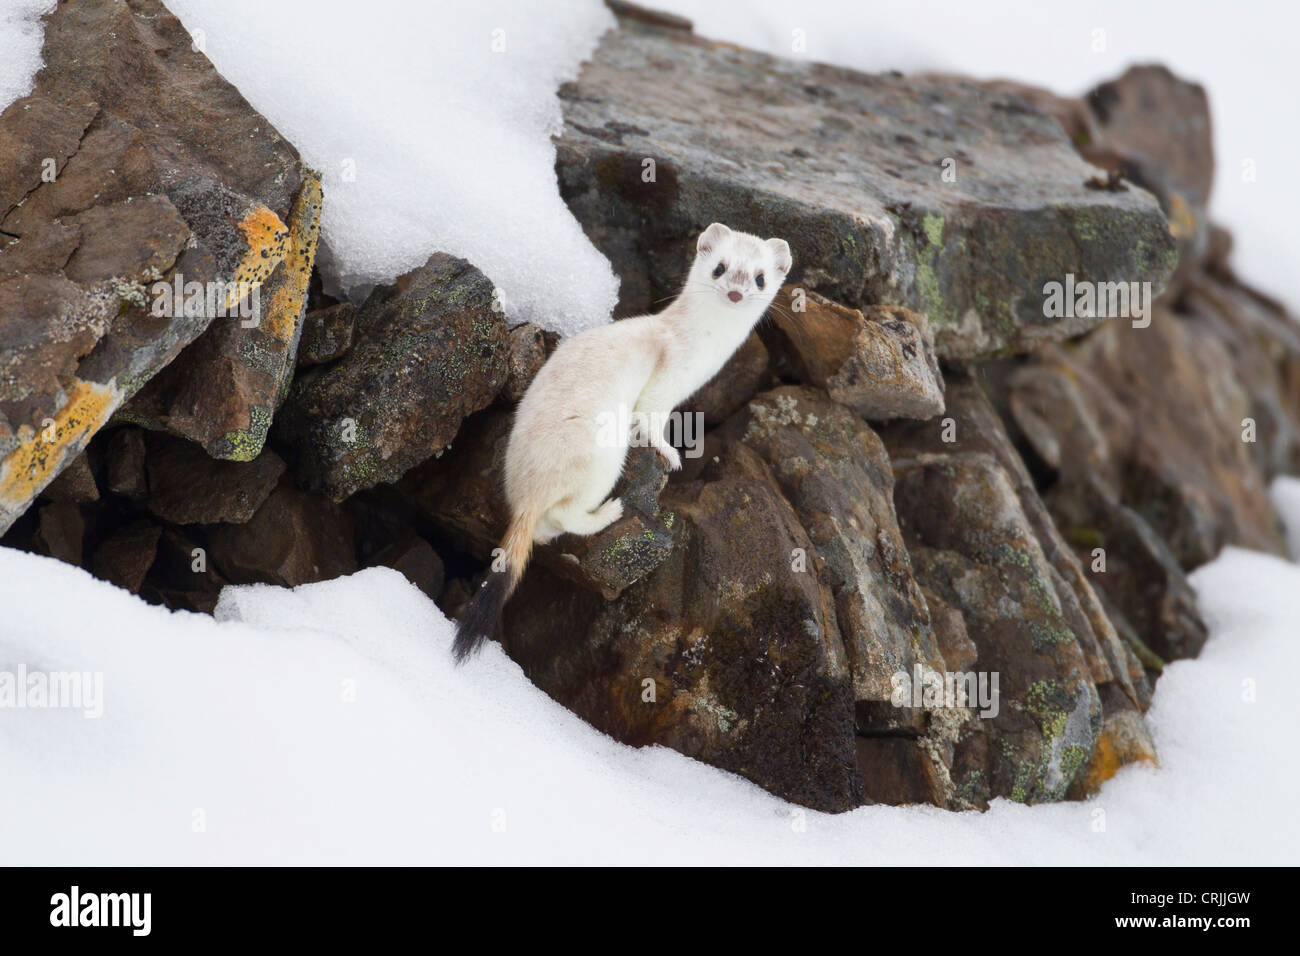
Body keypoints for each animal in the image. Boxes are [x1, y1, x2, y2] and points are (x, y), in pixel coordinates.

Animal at [452, 221, 785, 660]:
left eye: (760, 277)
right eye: (720, 267)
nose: (735, 292)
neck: (701, 347)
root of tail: (527, 493)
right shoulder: (664, 384)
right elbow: (650, 416)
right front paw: (668, 453)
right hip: (601, 457)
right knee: (567, 513)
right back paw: (610, 511)